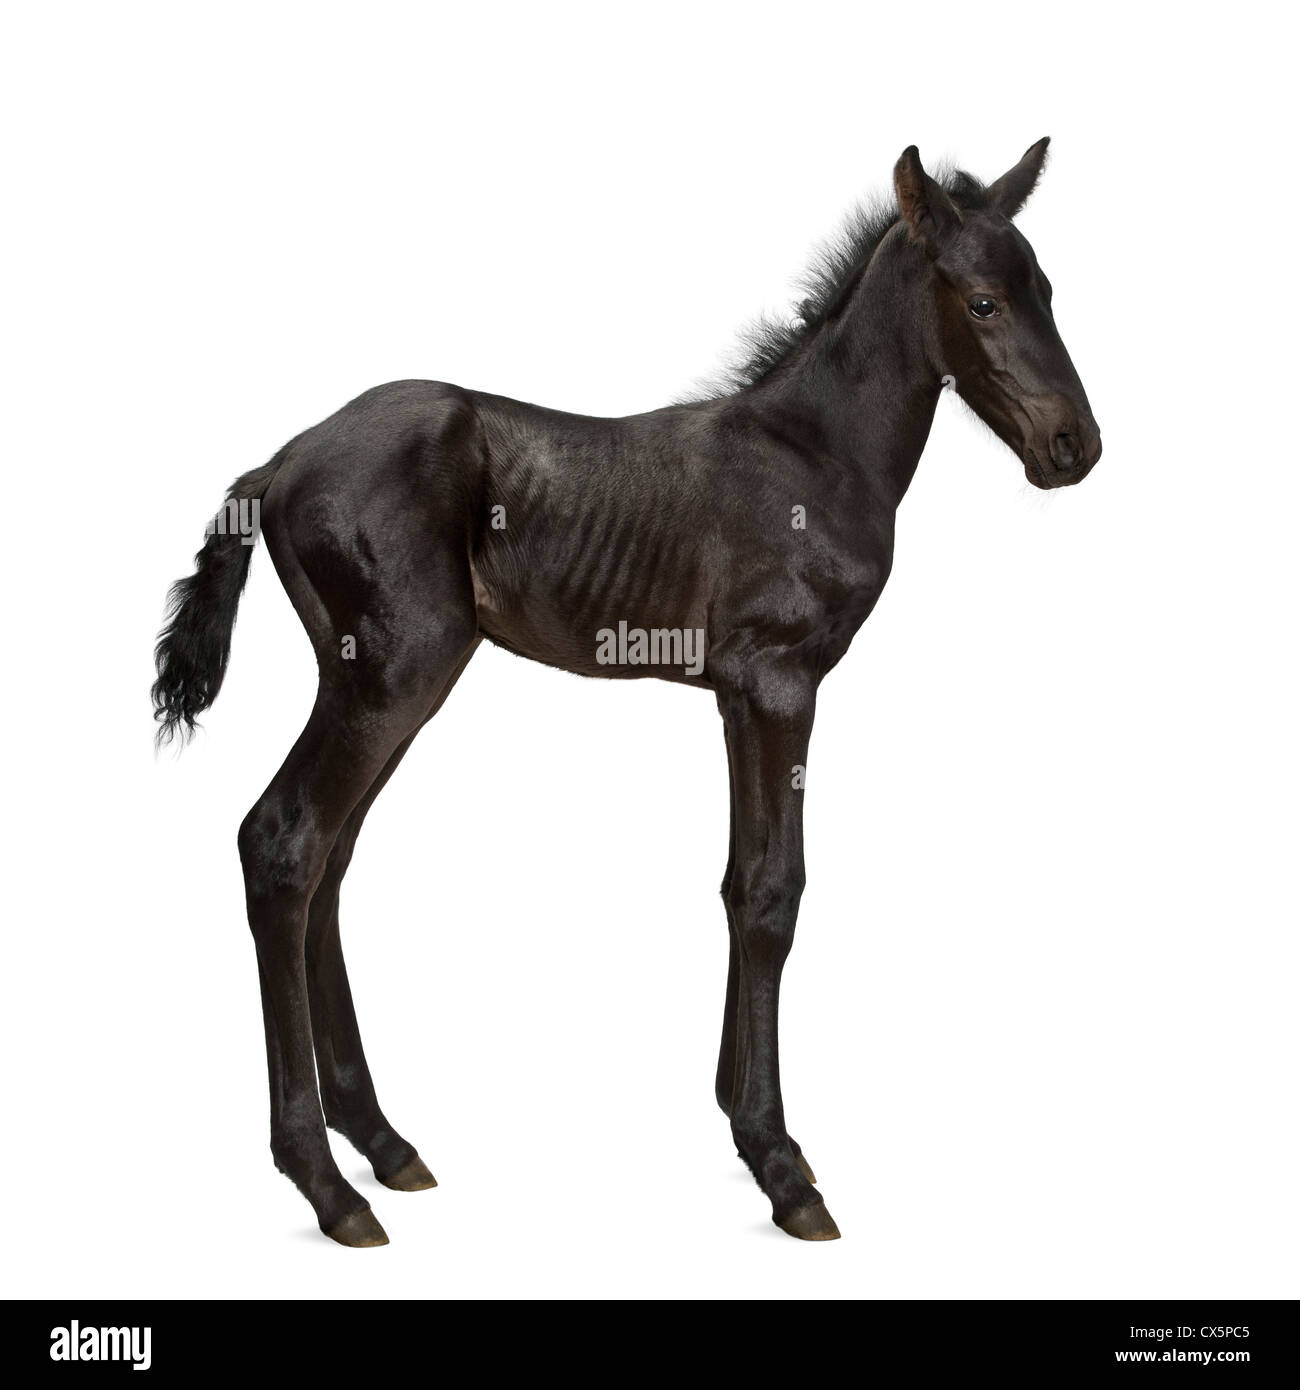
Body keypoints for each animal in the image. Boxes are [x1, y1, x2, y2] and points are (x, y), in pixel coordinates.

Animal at [154, 139, 1101, 1246]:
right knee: (283, 842)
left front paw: (739, 1120)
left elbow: (738, 883)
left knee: (327, 862)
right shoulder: (781, 682)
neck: (814, 454)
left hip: (377, 683)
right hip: (392, 675)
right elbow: (774, 895)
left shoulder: (736, 695)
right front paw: (784, 1165)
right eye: (983, 301)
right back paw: (324, 1180)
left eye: (1048, 289)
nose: (1076, 447)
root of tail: (283, 462)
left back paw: (381, 1142)